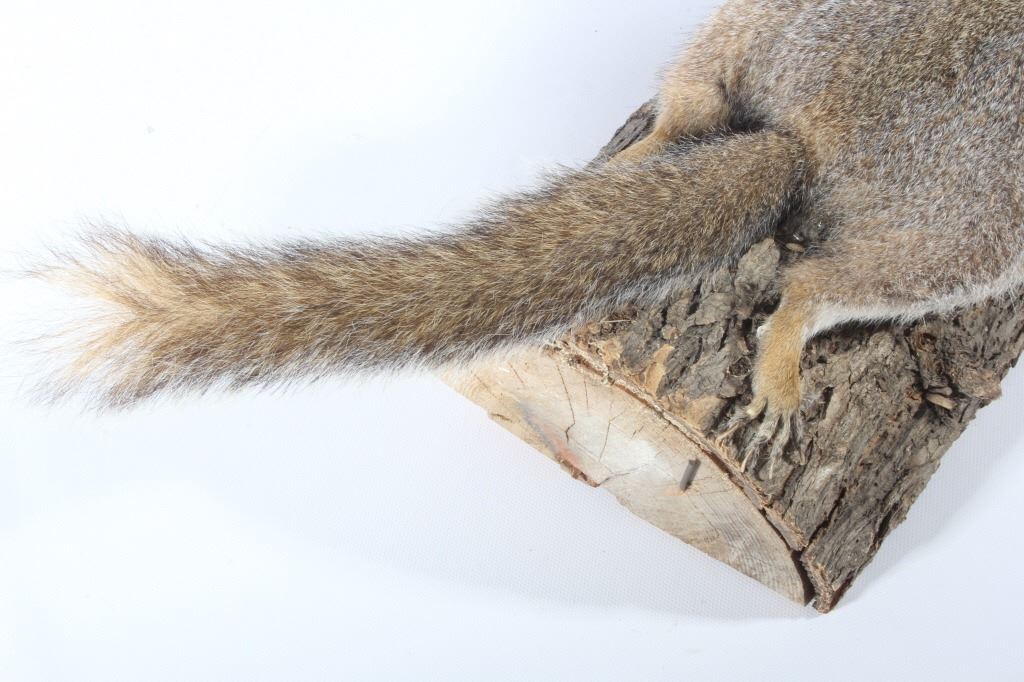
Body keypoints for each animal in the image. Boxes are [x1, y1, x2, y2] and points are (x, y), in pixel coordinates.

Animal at [35, 0, 1024, 471]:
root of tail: (811, 132)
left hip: (771, 22)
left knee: (696, 100)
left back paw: (645, 150)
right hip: (984, 221)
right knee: (824, 283)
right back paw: (786, 350)